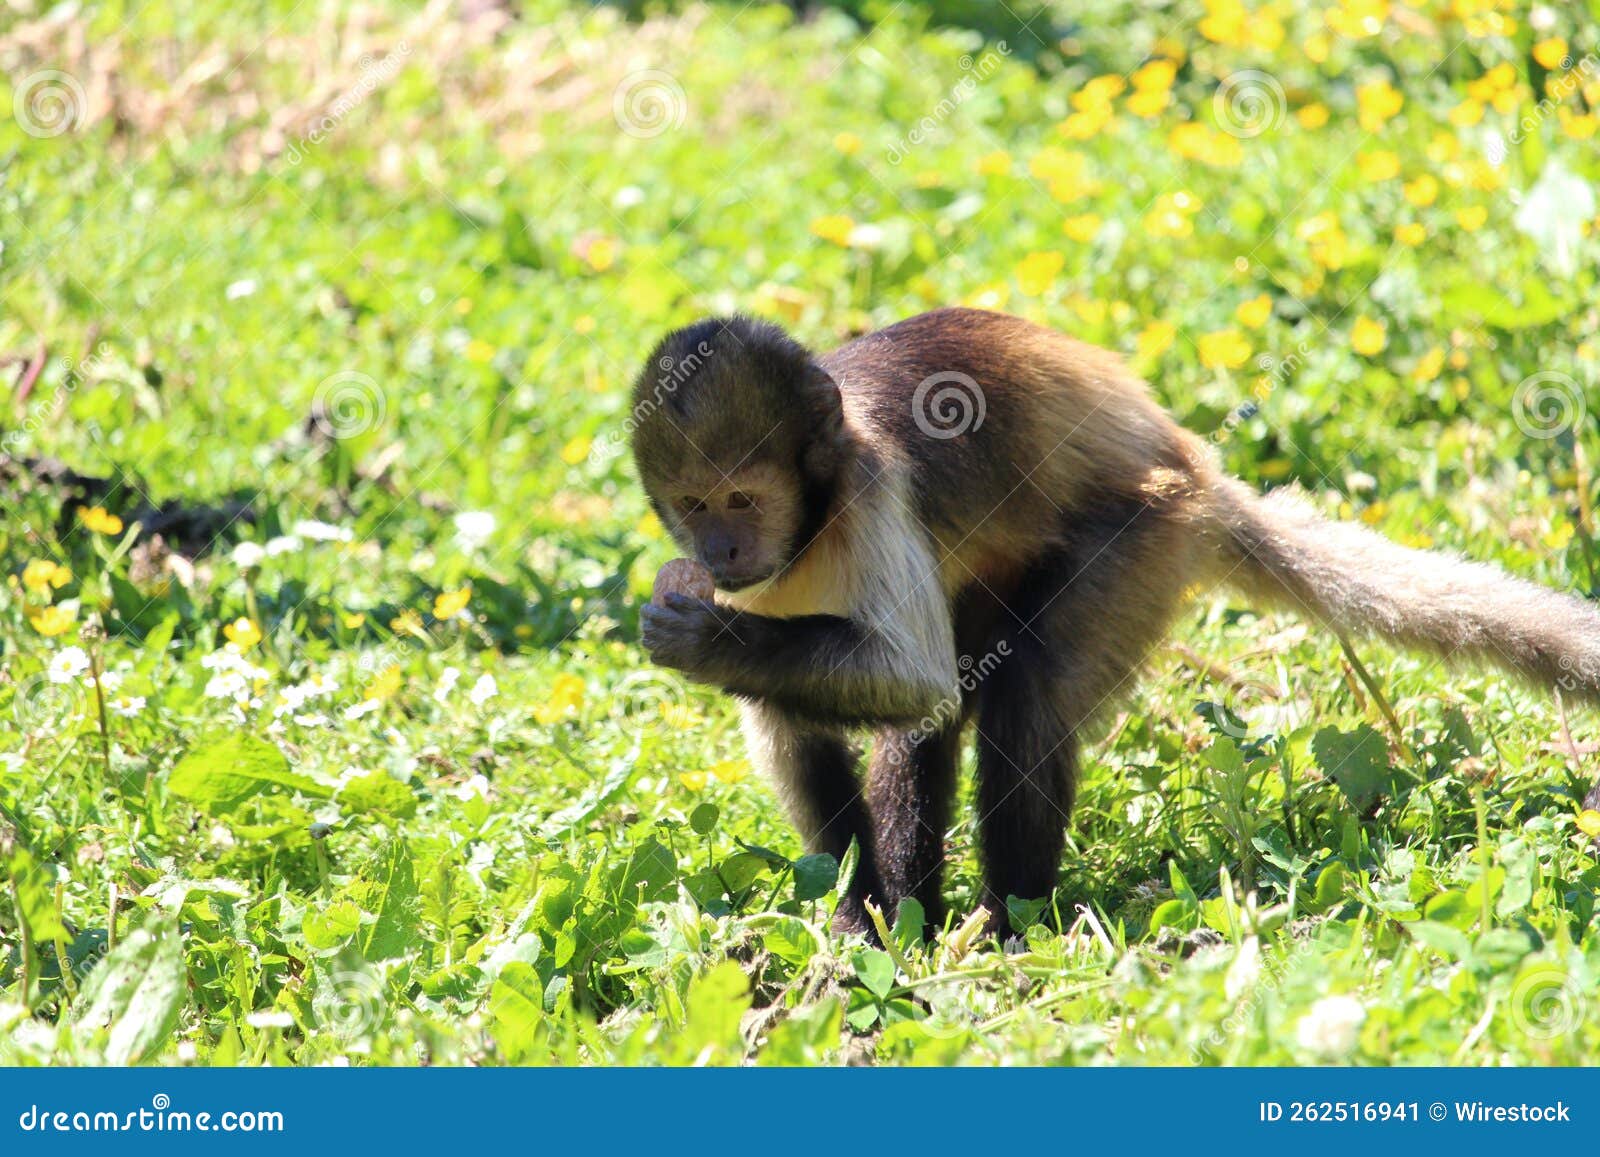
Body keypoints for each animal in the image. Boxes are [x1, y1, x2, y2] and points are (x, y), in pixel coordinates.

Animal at [630, 308, 1600, 936]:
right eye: (693, 505)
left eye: (742, 499)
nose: (719, 548)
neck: (818, 510)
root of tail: (1190, 460)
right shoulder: (770, 576)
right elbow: (816, 711)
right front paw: (855, 917)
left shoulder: (871, 489)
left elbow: (913, 677)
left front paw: (699, 642)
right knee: (909, 706)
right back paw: (903, 922)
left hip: (1148, 532)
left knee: (1021, 687)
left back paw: (1010, 924)